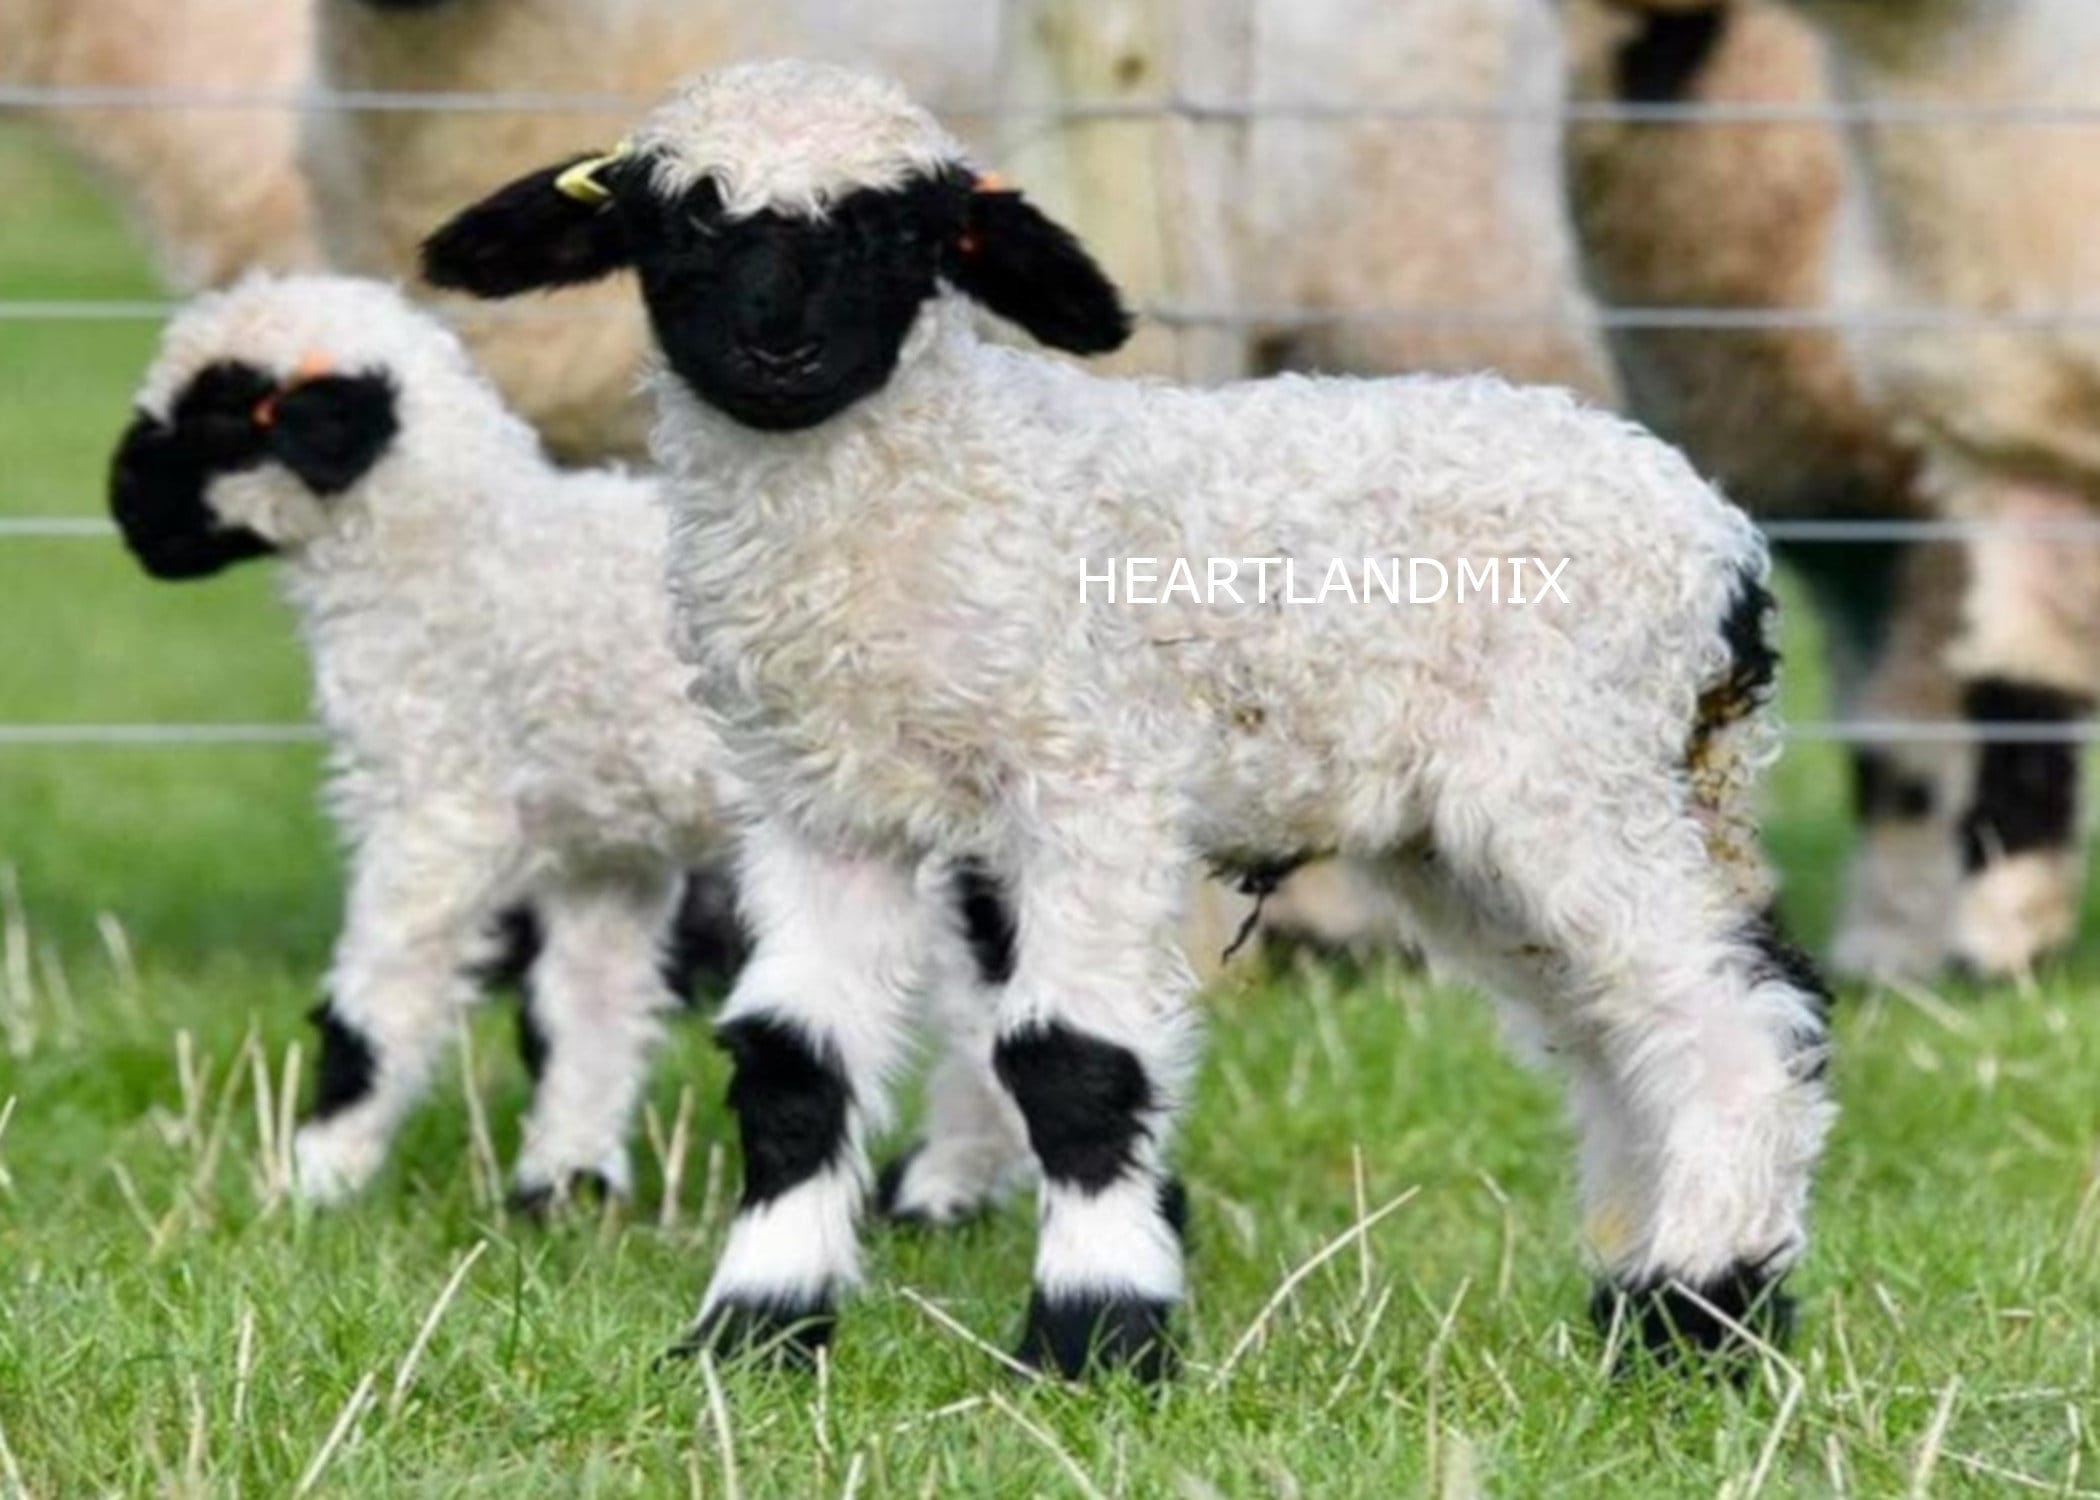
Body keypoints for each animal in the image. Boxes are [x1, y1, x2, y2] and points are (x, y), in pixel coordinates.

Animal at [106, 272, 761, 1211]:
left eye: (222, 418)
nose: (122, 506)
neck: (462, 552)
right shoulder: (603, 848)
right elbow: (585, 1013)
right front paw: (564, 1190)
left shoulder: (440, 809)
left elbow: (377, 1003)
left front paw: (313, 1181)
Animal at [424, 59, 1836, 1380]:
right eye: (680, 225)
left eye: (899, 234)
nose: (779, 354)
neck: (928, 495)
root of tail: (1724, 552)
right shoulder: (819, 806)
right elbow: (793, 1066)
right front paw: (755, 1331)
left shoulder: (1088, 783)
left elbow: (1073, 1063)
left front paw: (1096, 1336)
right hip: (1482, 832)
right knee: (1618, 1035)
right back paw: (1653, 1295)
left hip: (1571, 770)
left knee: (1734, 1023)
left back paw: (1704, 1309)